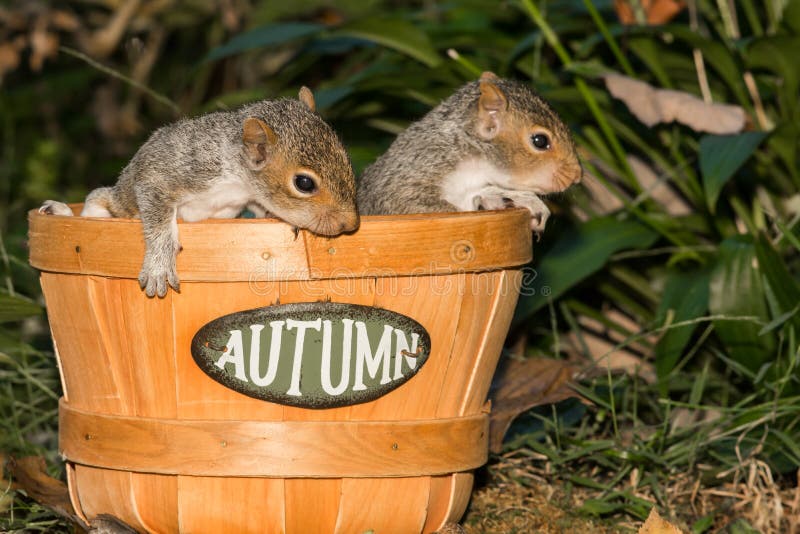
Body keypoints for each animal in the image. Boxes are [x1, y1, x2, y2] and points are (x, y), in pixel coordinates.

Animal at [40, 87, 358, 298]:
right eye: (304, 183)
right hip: (117, 201)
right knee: (97, 201)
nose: (352, 224)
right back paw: (62, 210)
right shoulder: (173, 170)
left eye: (345, 156)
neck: (237, 177)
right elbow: (157, 214)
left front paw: (280, 217)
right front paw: (159, 264)